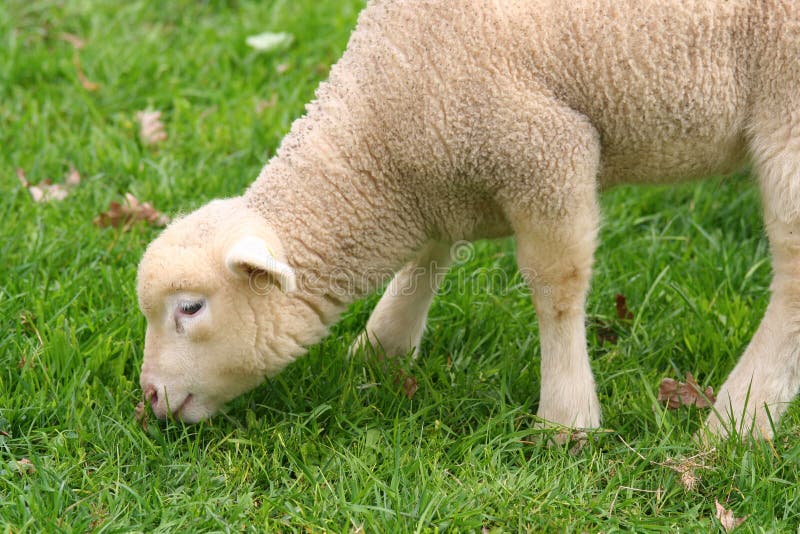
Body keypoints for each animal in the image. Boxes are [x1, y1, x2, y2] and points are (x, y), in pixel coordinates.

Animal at [137, 0, 800, 439]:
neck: (378, 143)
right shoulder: (445, 173)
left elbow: (556, 288)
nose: (148, 397)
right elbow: (427, 256)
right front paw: (380, 349)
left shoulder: (545, 149)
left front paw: (568, 421)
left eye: (189, 309)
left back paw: (739, 421)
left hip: (786, 108)